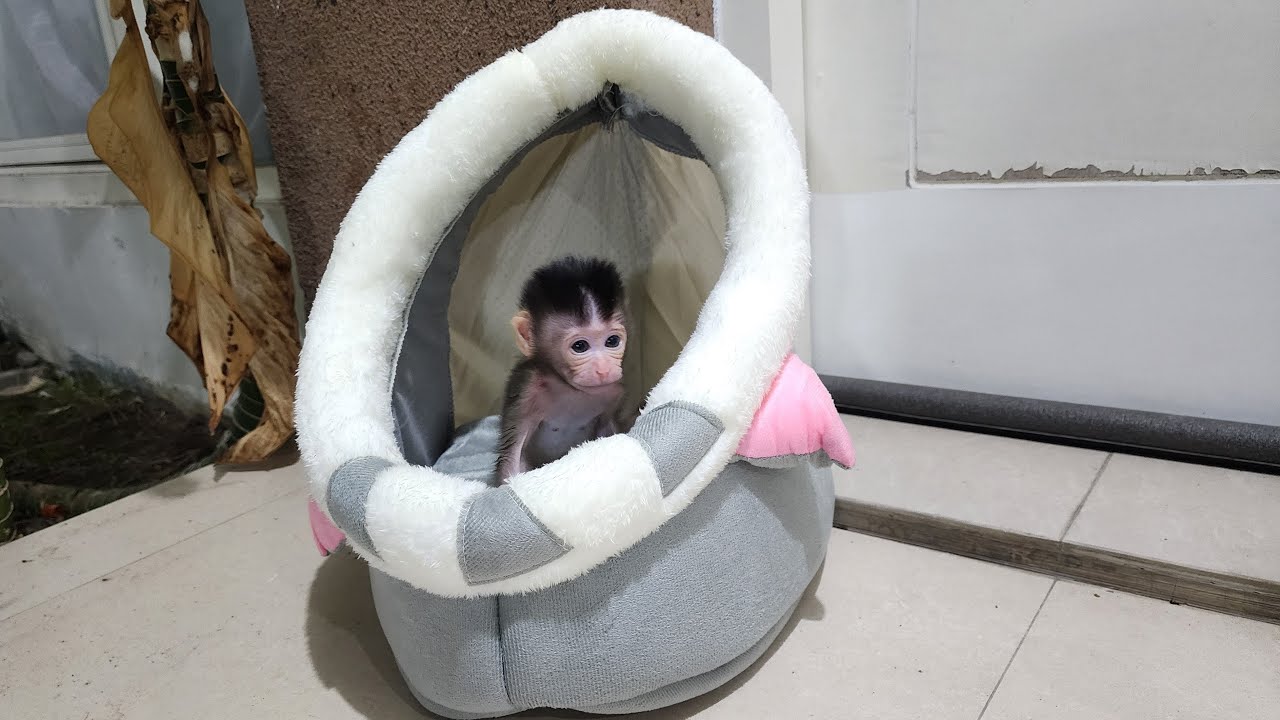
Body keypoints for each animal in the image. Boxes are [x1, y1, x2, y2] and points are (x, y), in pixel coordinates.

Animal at [495, 256, 633, 482]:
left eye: (612, 341)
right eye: (580, 346)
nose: (604, 370)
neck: (568, 387)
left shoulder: (614, 392)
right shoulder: (526, 388)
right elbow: (511, 458)